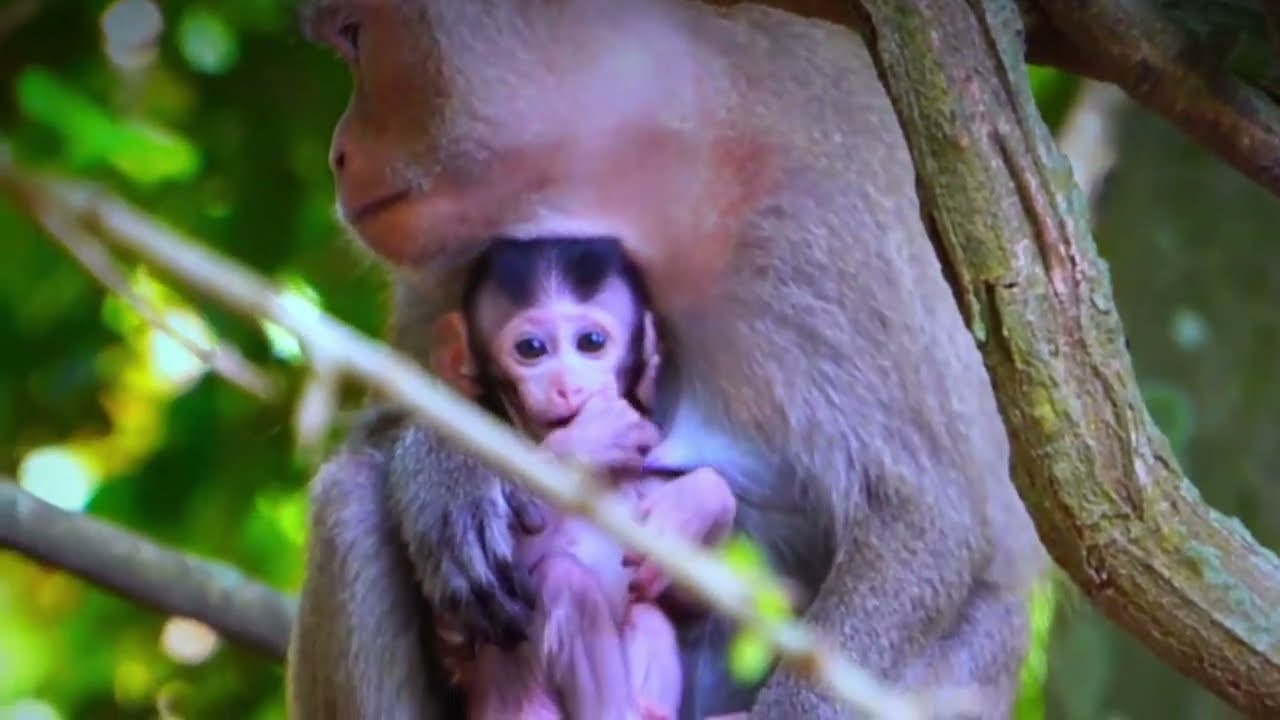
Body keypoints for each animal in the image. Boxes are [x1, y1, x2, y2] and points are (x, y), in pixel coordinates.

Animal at [432, 236, 737, 720]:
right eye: (531, 349)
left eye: (591, 342)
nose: (567, 385)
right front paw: (589, 438)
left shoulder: (643, 485)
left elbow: (688, 600)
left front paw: (696, 503)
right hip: (514, 705)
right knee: (563, 582)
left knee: (646, 613)